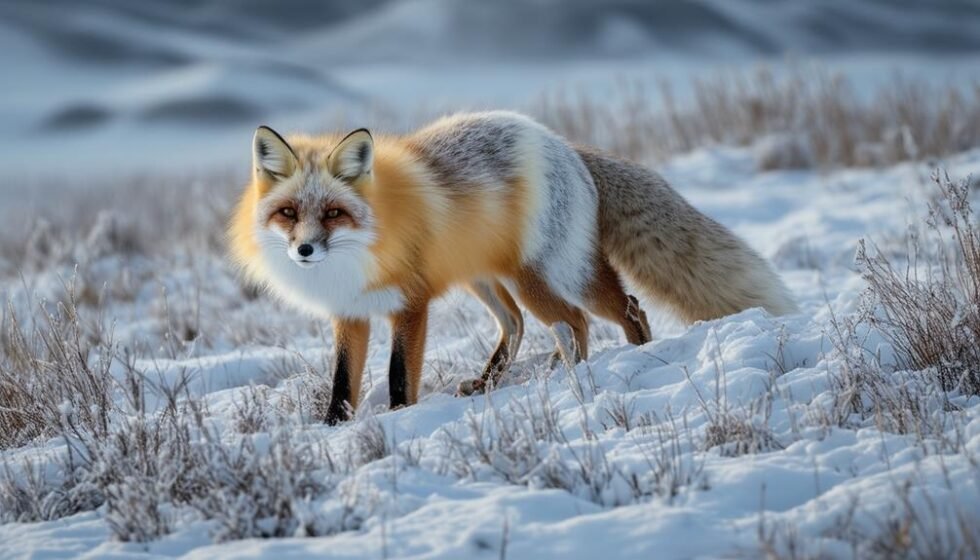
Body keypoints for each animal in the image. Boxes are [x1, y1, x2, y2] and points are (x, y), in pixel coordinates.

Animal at [228, 111, 796, 424]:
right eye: (288, 213)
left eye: (333, 213)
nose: (304, 251)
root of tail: (565, 145)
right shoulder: (350, 314)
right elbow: (341, 385)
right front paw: (330, 431)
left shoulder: (410, 305)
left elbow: (397, 378)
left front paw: (396, 423)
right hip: (487, 278)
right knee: (523, 324)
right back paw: (493, 383)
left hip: (544, 274)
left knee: (604, 313)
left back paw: (614, 365)